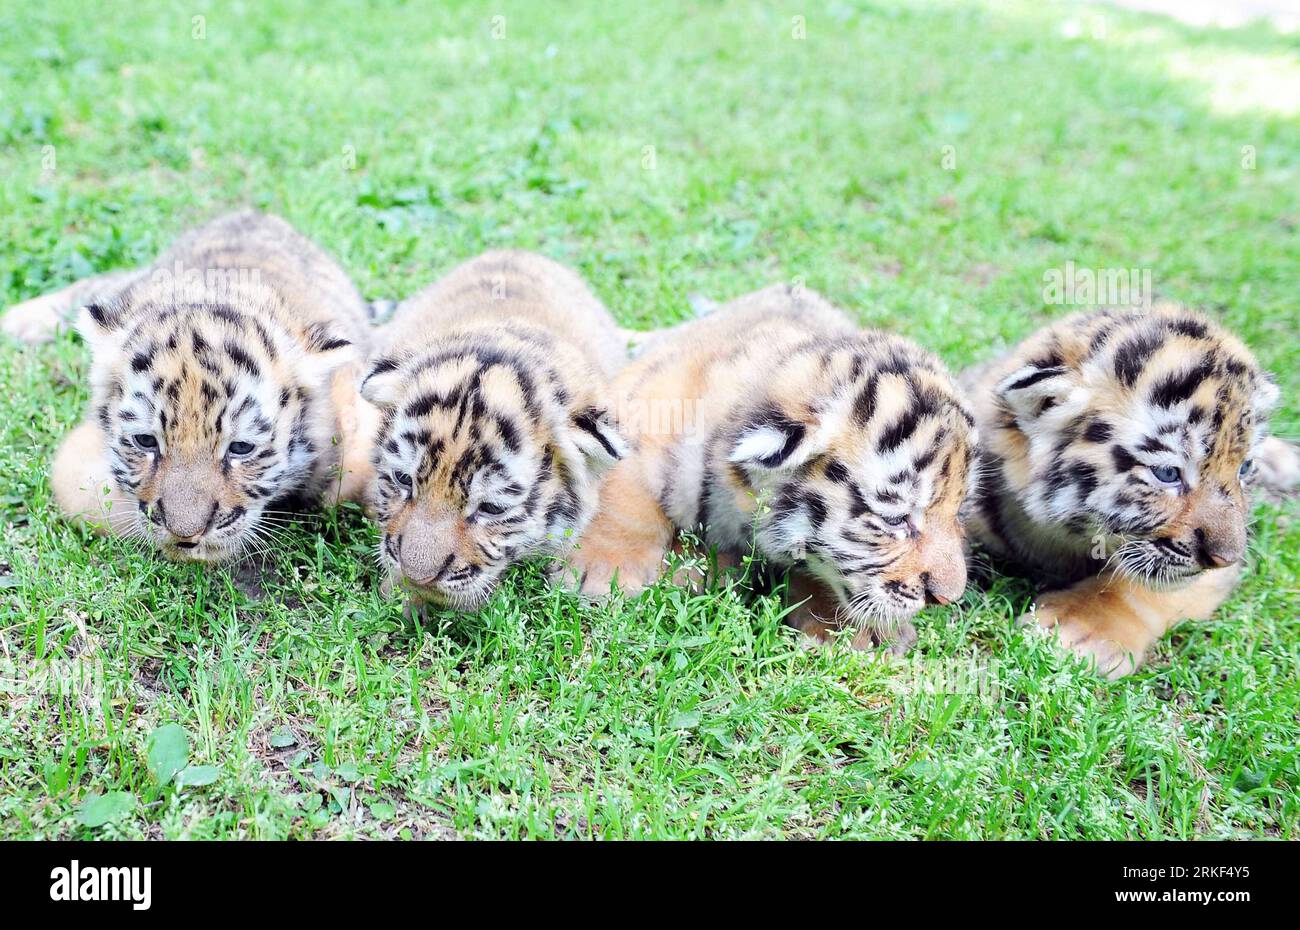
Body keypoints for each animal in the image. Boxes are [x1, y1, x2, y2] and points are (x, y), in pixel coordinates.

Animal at [563, 284, 979, 654]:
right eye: (895, 520)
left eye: (958, 512)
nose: (948, 598)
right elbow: (623, 493)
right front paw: (601, 572)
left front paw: (863, 630)